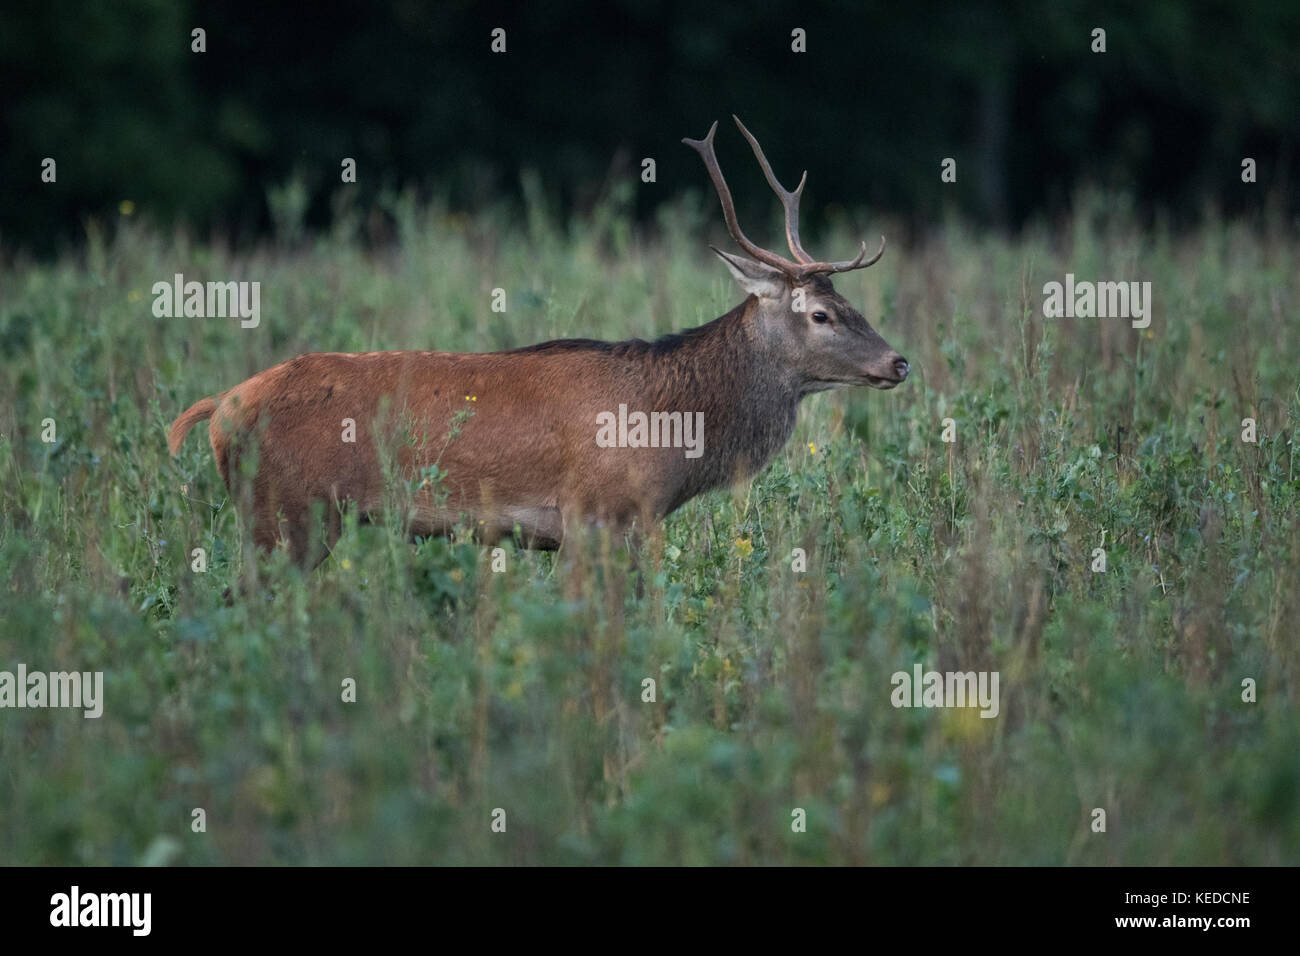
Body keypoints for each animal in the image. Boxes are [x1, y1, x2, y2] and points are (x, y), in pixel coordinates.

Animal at [168, 116, 909, 568]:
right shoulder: (593, 513)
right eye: (821, 313)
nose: (898, 361)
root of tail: (218, 407)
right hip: (287, 514)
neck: (670, 430)